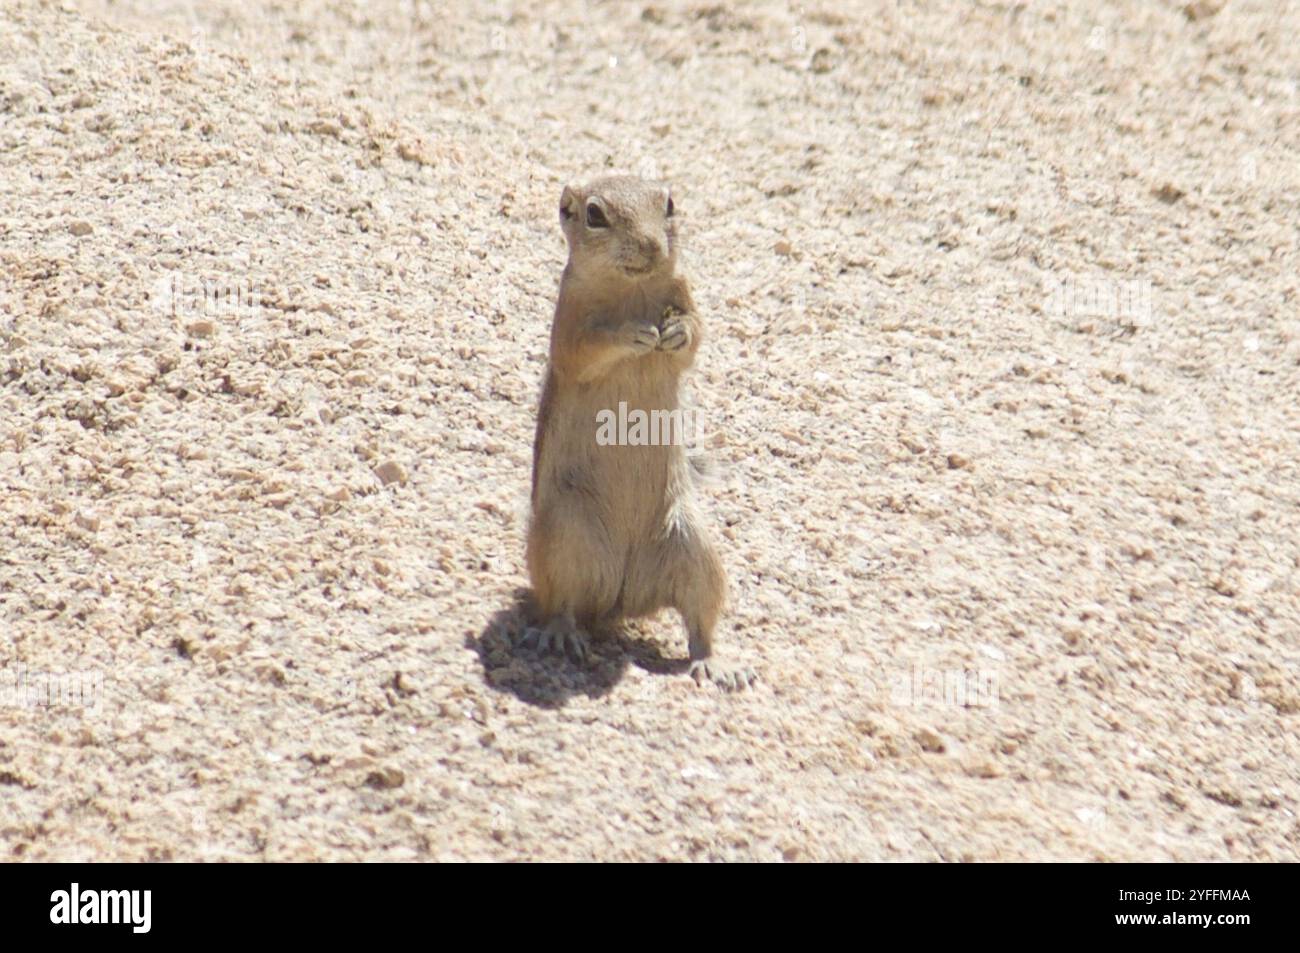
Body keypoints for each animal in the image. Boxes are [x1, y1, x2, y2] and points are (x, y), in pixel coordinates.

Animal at [523, 175, 755, 691]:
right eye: (594, 214)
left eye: (668, 204)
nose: (651, 245)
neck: (632, 287)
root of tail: (621, 598)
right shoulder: (568, 321)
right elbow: (587, 348)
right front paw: (633, 333)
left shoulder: (686, 294)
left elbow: (694, 334)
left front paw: (675, 332)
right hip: (563, 536)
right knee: (560, 602)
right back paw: (561, 635)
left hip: (695, 546)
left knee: (700, 623)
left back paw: (716, 665)